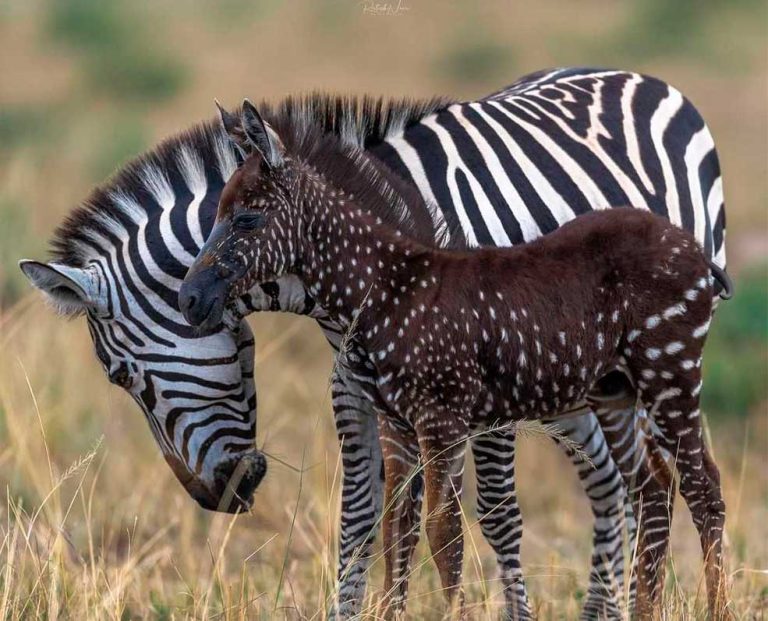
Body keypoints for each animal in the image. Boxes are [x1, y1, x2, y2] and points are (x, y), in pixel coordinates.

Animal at [18, 67, 726, 619]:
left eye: (122, 377)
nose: (217, 499)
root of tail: (642, 78)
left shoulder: (472, 394)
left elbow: (488, 517)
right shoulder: (357, 390)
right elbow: (368, 518)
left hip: (642, 373)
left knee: (666, 482)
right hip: (591, 388)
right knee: (623, 485)